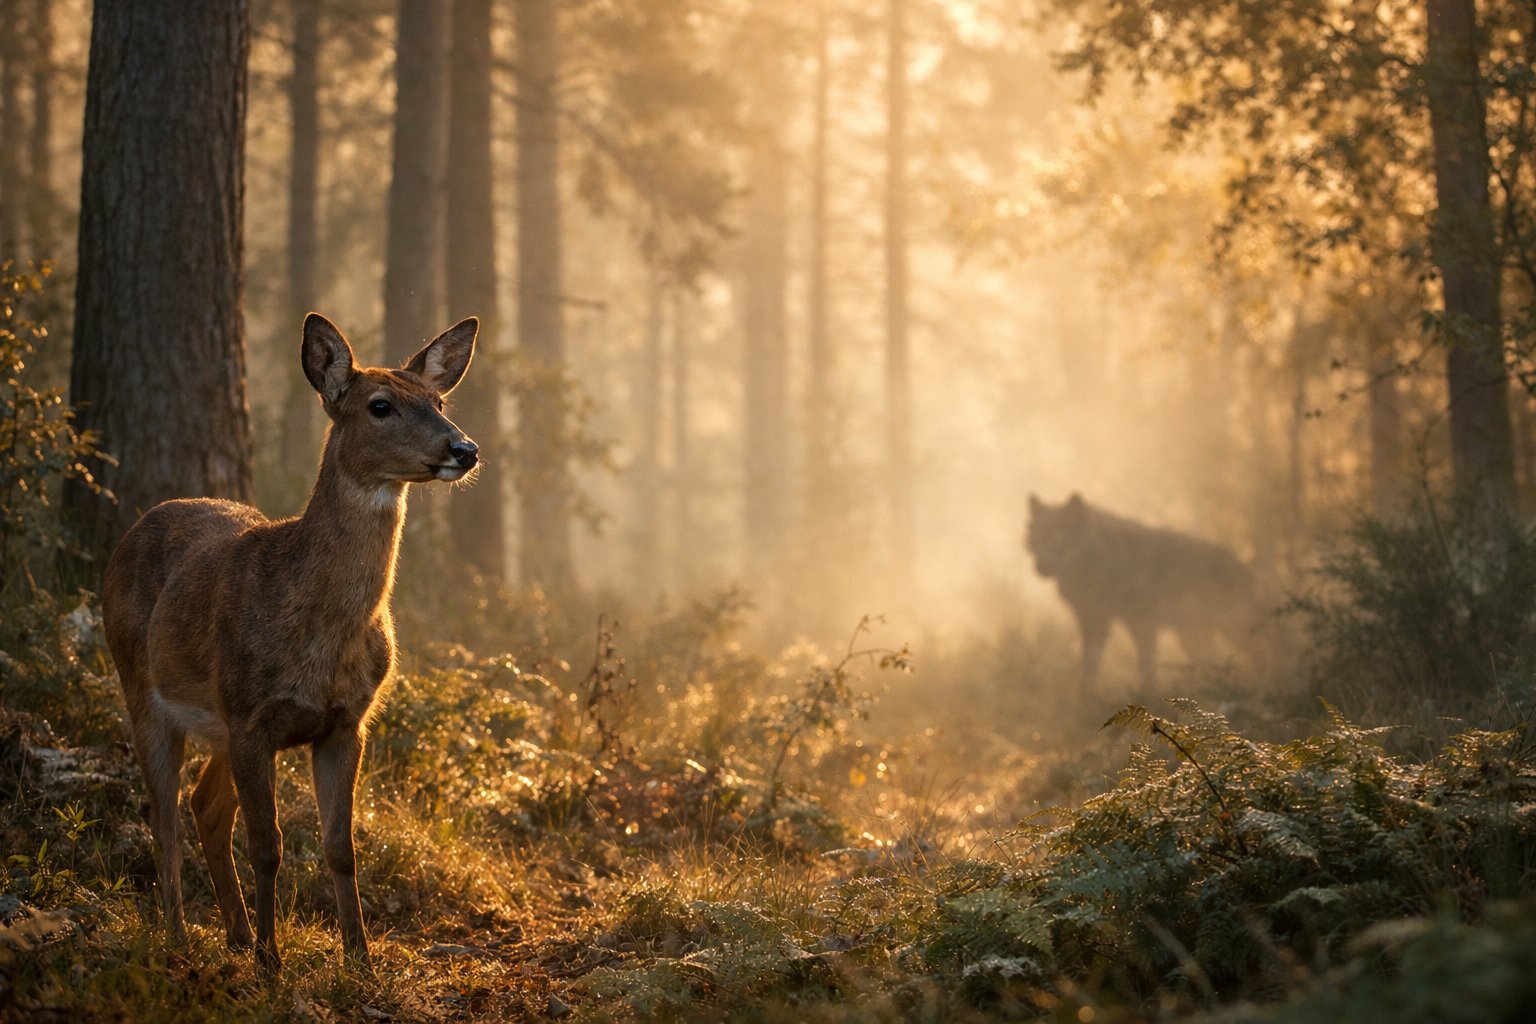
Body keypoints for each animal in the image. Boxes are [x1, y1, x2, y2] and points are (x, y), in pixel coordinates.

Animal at [101, 312, 479, 973]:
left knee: (204, 806)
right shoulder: (252, 718)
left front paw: (359, 958)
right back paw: (179, 936)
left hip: (219, 725)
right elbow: (268, 845)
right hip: (142, 686)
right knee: (164, 815)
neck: (322, 636)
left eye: (438, 402)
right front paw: (271, 962)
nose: (464, 448)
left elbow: (340, 845)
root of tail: (133, 530)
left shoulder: (343, 722)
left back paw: (233, 933)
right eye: (379, 405)